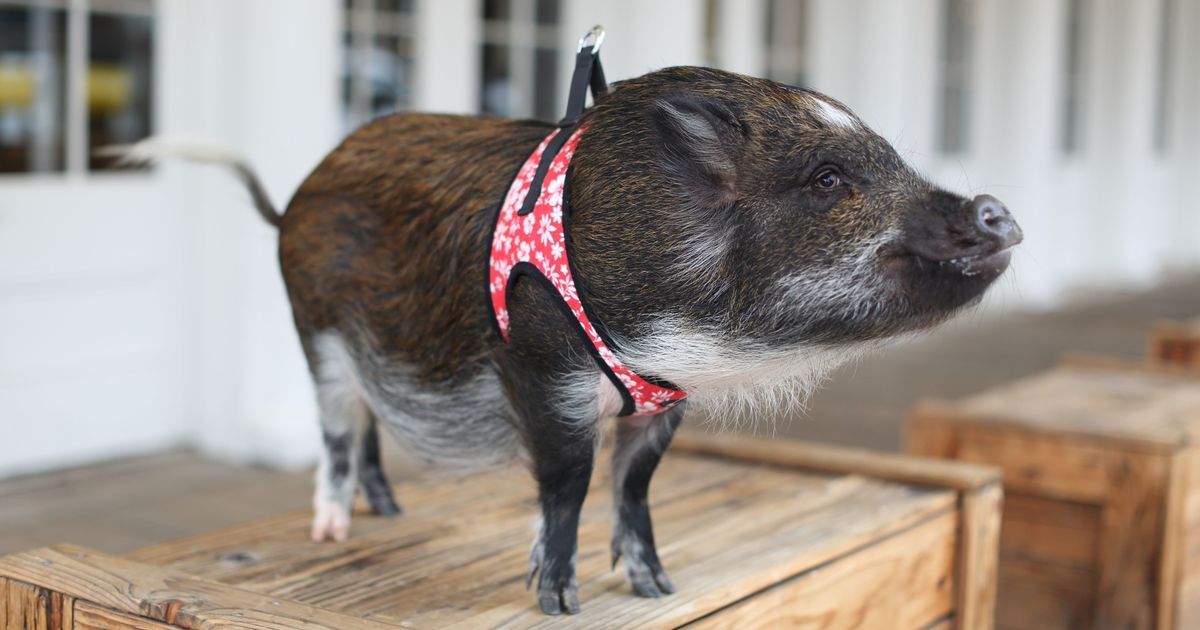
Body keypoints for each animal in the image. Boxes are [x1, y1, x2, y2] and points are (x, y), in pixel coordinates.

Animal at [115, 65, 1021, 615]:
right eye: (828, 181)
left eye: (893, 160)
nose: (995, 209)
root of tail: (294, 200)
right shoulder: (540, 364)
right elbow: (568, 483)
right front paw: (559, 602)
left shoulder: (662, 399)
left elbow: (635, 486)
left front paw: (657, 588)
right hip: (316, 333)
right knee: (336, 432)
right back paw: (333, 532)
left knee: (369, 427)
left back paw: (391, 511)